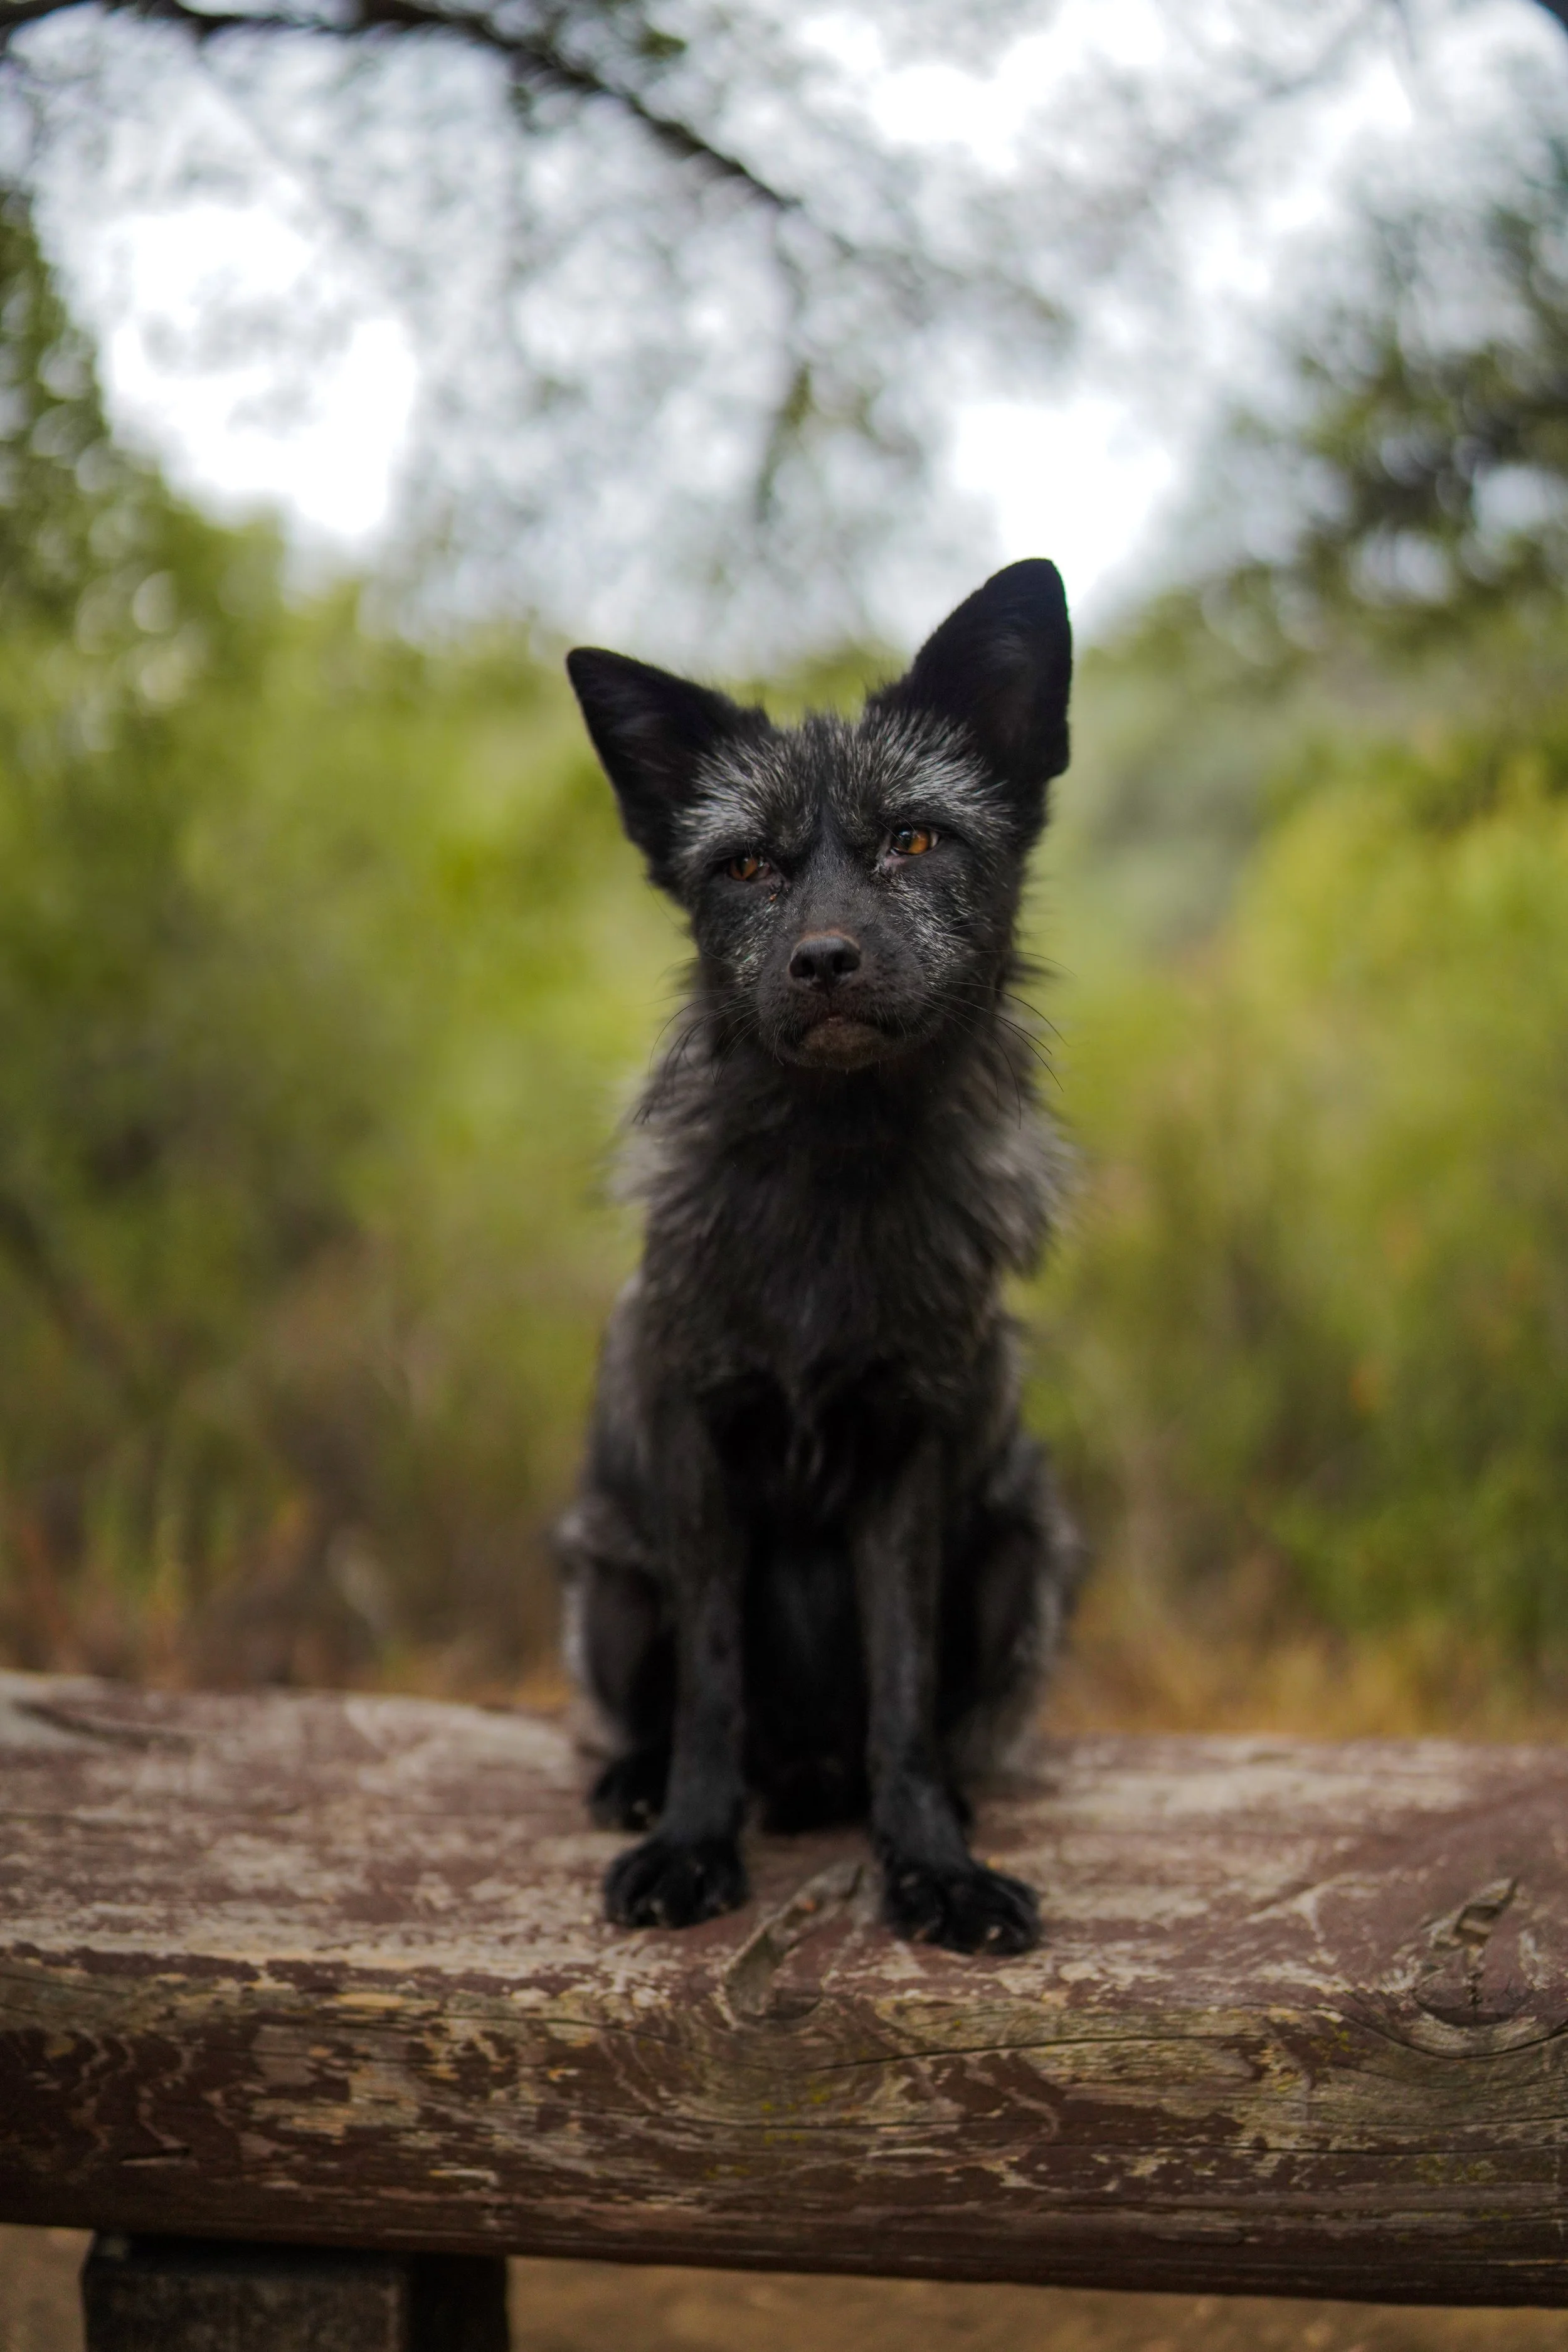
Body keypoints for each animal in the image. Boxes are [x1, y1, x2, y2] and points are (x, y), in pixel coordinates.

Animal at [554, 559, 1082, 1955]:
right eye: (745, 866)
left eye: (915, 840)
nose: (825, 960)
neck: (832, 1193)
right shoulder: (695, 1442)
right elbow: (709, 1693)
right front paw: (691, 1842)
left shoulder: (906, 1456)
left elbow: (901, 1700)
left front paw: (934, 1866)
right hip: (608, 1578)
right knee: (665, 1713)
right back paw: (643, 1787)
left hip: (1026, 1552)